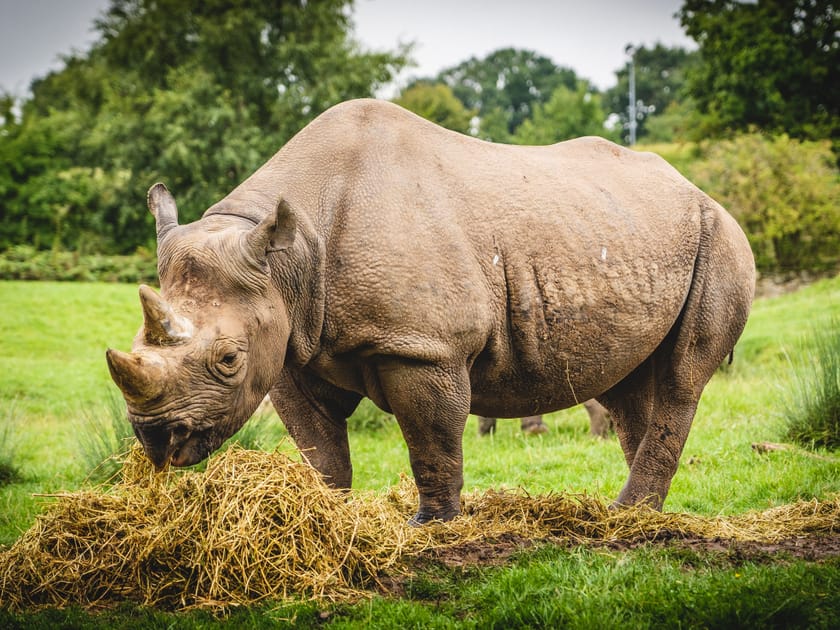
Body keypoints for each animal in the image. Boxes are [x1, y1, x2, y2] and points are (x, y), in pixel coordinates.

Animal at [106, 99, 755, 524]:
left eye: (228, 360)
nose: (158, 441)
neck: (289, 255)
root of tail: (697, 187)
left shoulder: (423, 345)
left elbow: (431, 435)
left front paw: (432, 524)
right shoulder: (292, 343)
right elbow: (319, 445)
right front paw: (326, 515)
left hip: (720, 236)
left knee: (681, 376)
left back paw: (628, 513)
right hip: (630, 232)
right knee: (627, 380)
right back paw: (641, 518)